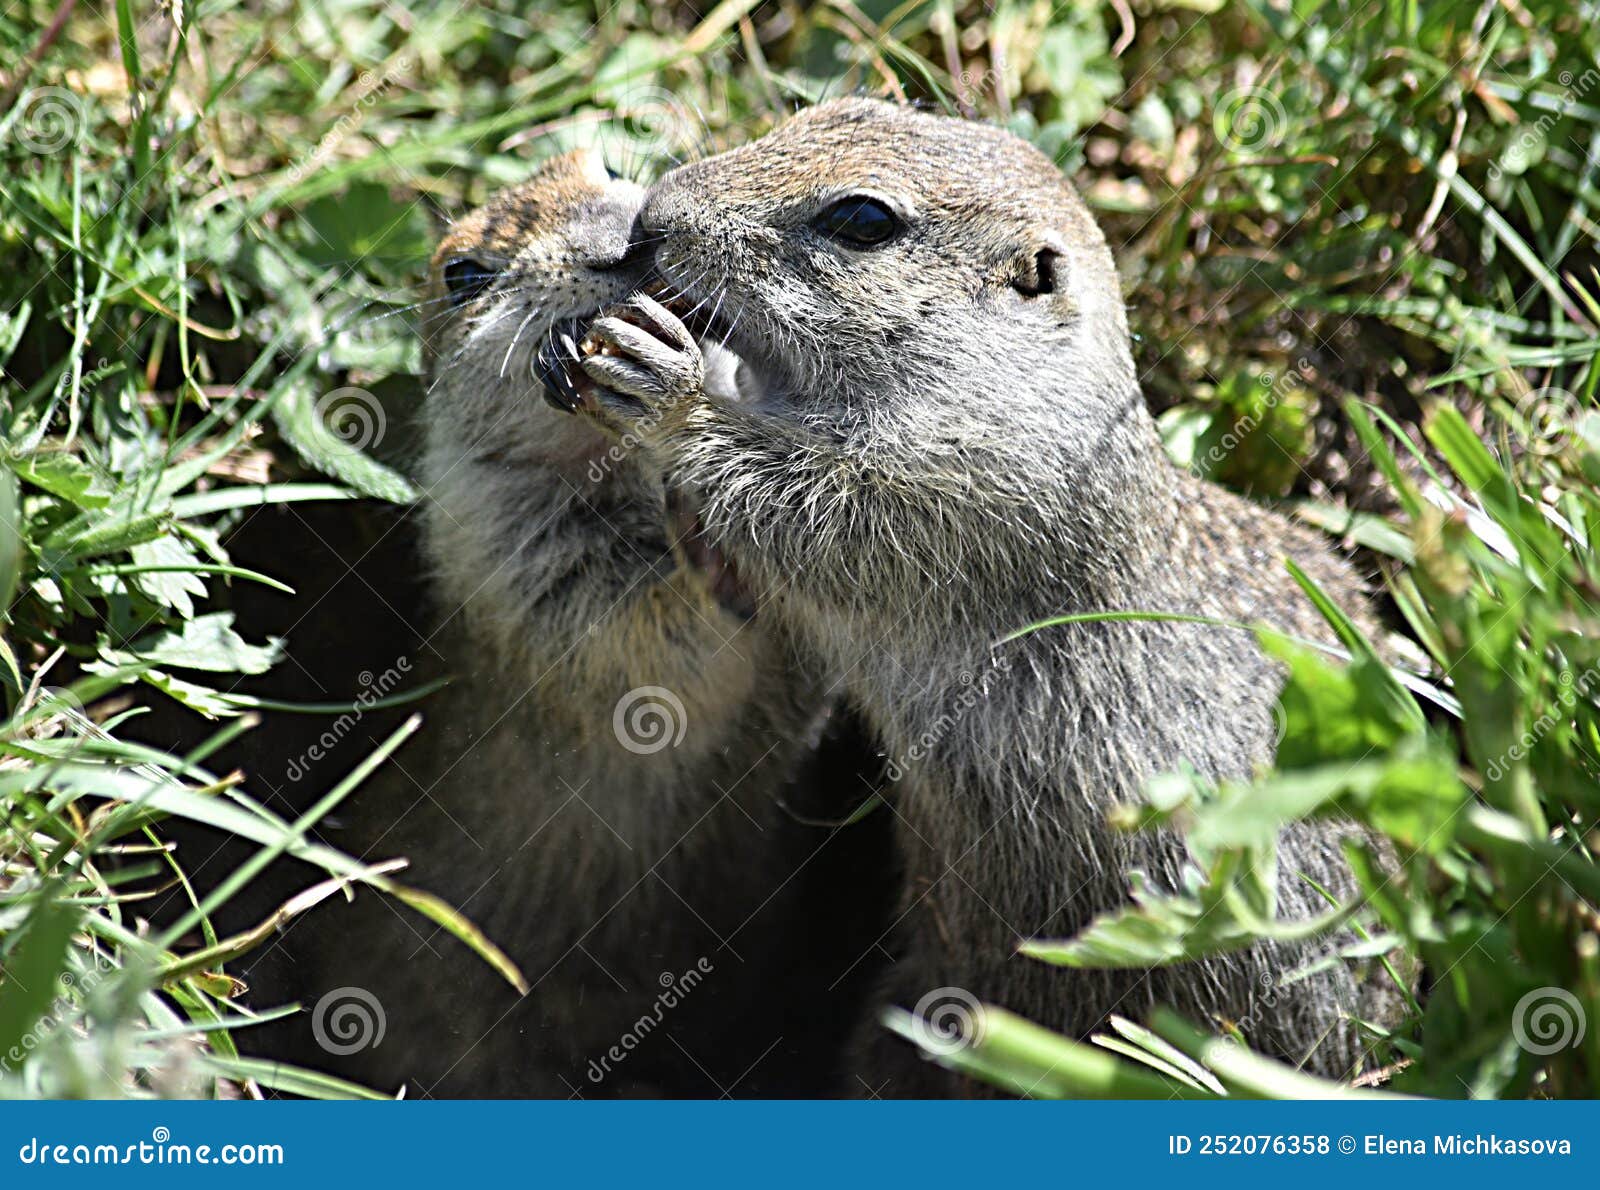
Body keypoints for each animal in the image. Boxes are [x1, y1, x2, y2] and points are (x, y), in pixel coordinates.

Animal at [566, 99, 1405, 1095]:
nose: (648, 222)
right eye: (826, 110)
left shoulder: (957, 497)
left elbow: (812, 514)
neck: (1013, 390)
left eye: (863, 221)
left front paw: (674, 385)